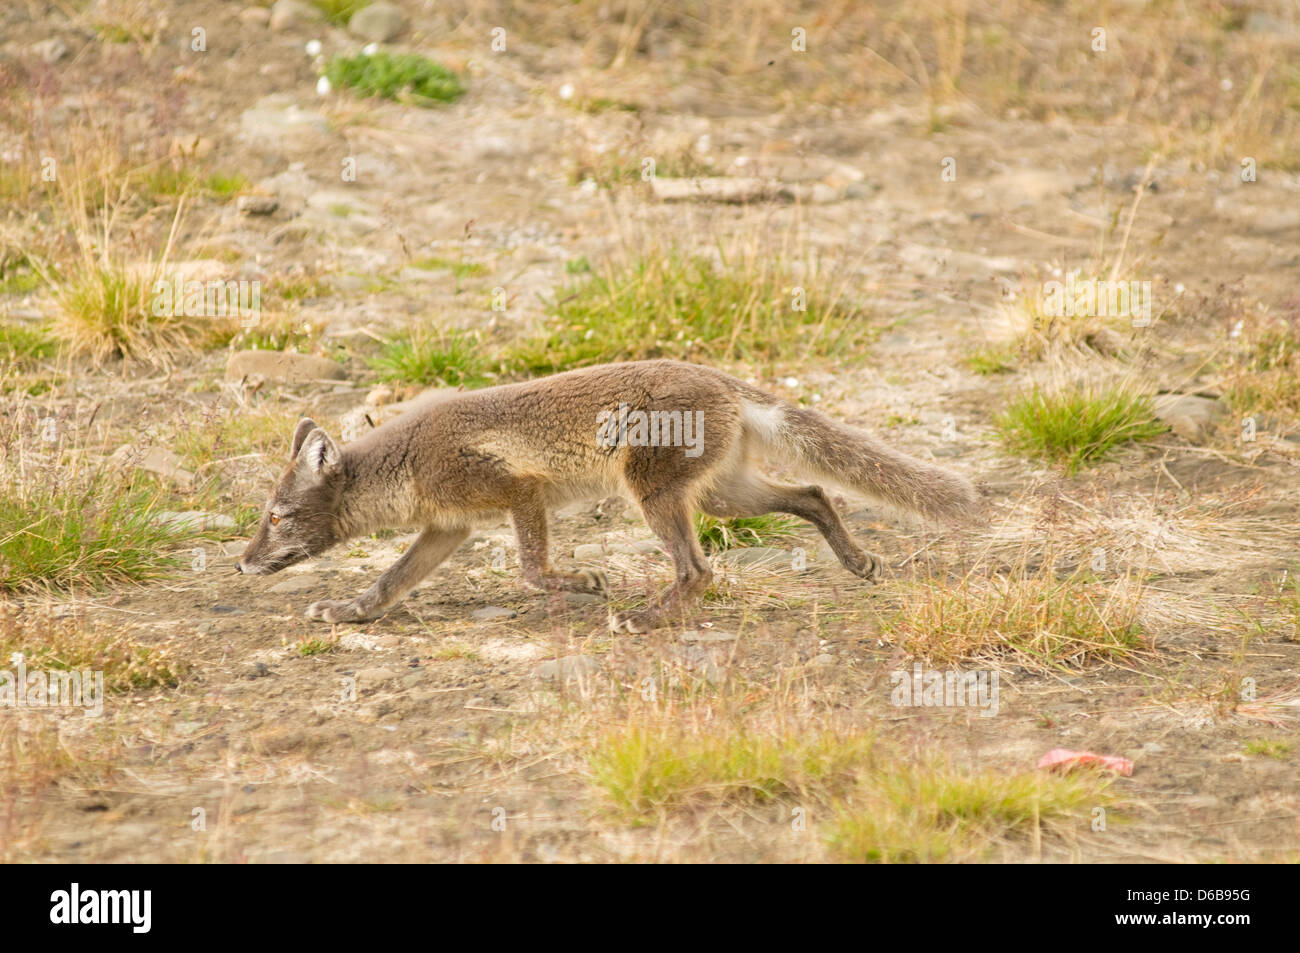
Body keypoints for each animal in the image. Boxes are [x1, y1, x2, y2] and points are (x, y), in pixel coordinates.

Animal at [236, 359, 979, 632]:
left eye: (275, 516)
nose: (241, 562)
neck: (408, 460)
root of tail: (719, 377)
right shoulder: (451, 528)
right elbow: (389, 581)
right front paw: (348, 610)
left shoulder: (519, 491)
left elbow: (531, 569)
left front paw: (586, 583)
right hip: (720, 497)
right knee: (817, 492)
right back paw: (859, 563)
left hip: (655, 498)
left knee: (699, 570)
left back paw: (646, 619)